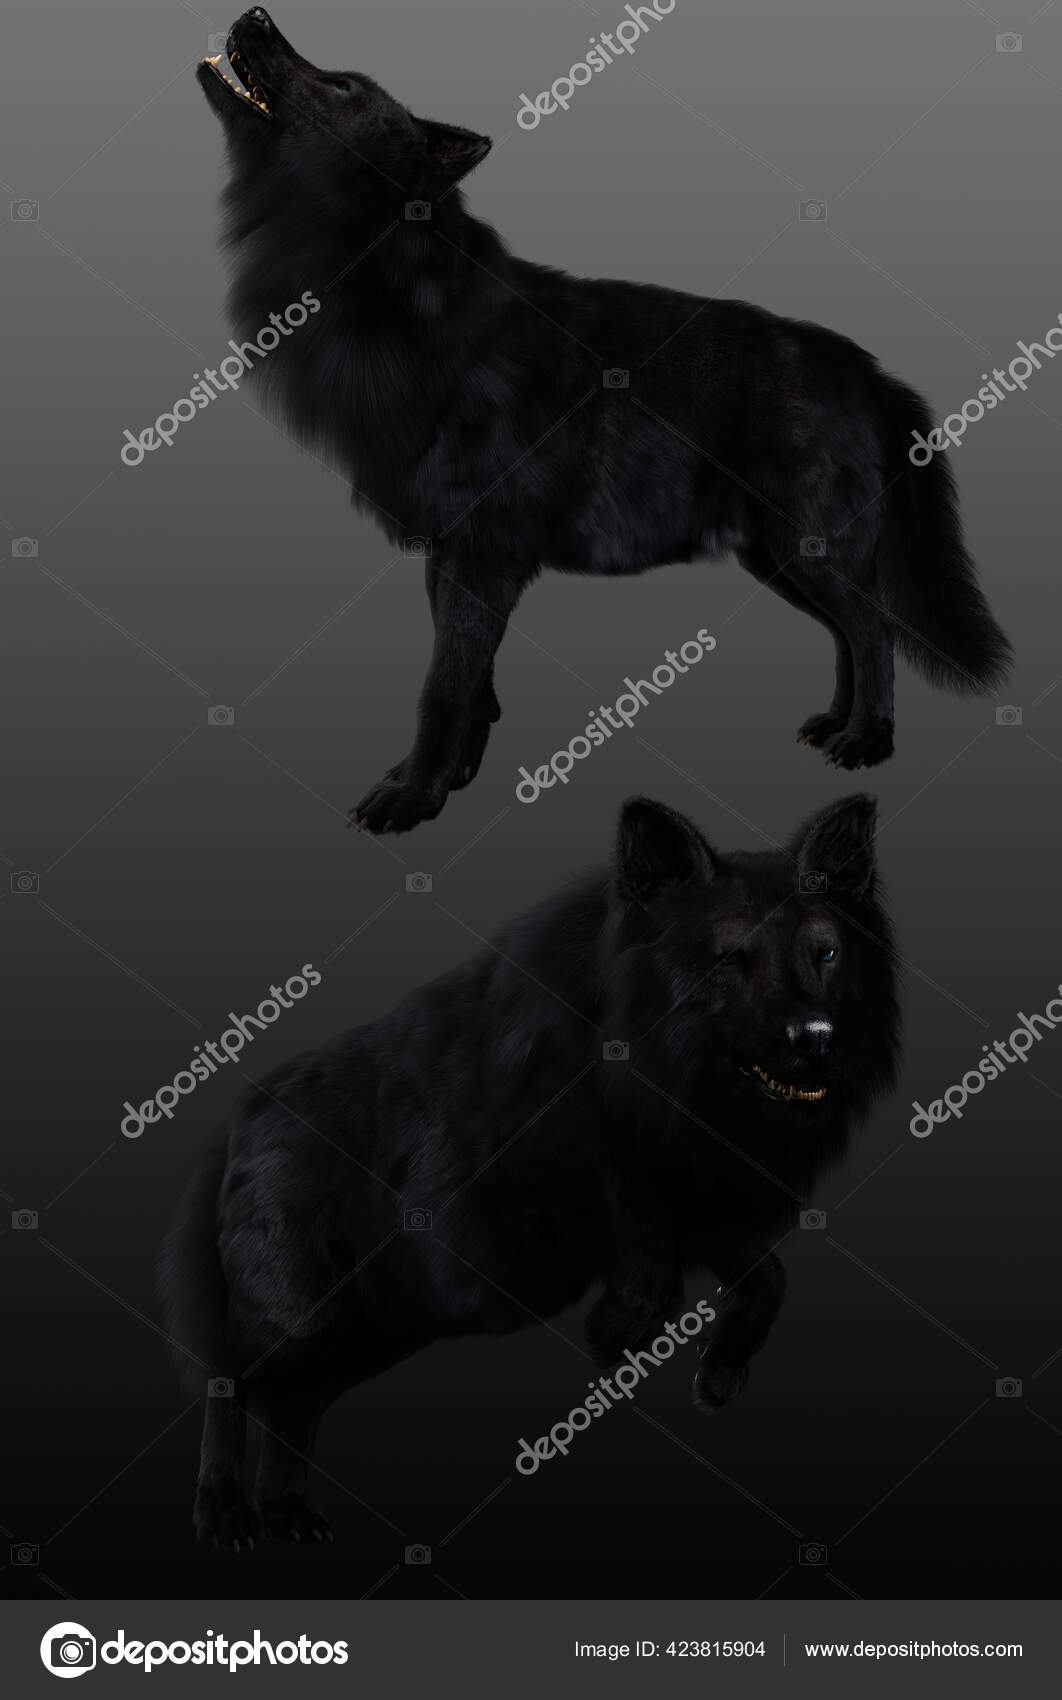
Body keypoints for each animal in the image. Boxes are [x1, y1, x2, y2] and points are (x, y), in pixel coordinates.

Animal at [159, 792, 901, 1546]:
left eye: (825, 953)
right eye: (730, 958)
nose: (817, 1038)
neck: (661, 1069)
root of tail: (234, 1121)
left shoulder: (706, 1205)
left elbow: (767, 1280)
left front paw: (717, 1373)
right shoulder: (568, 1166)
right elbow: (640, 1229)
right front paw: (618, 1331)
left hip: (366, 1334)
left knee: (293, 1408)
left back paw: (287, 1514)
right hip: (297, 1318)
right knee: (231, 1387)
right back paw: (224, 1515)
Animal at [195, 9, 1009, 835]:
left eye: (340, 86)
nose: (256, 14)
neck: (405, 294)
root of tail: (869, 369)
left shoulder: (481, 558)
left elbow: (442, 687)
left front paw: (414, 795)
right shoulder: (448, 556)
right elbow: (475, 684)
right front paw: (457, 775)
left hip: (806, 554)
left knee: (874, 632)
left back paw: (866, 742)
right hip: (778, 560)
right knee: (849, 632)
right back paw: (835, 725)